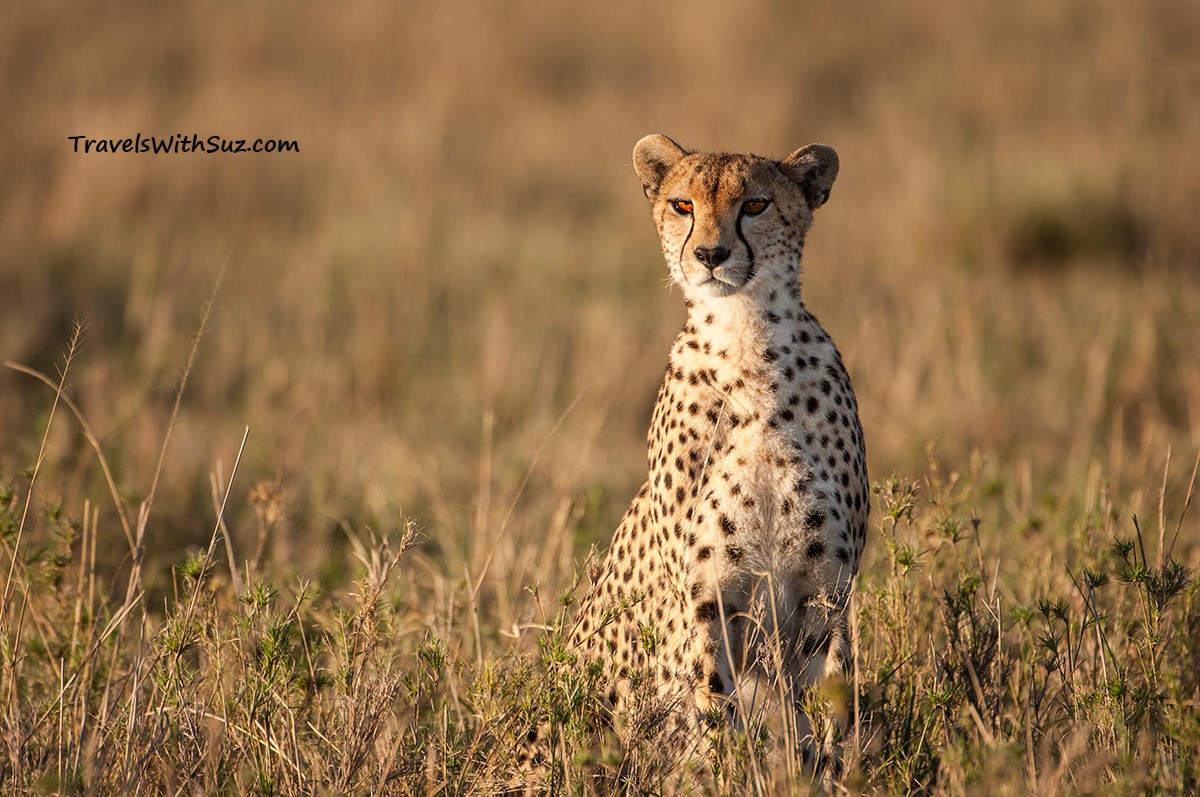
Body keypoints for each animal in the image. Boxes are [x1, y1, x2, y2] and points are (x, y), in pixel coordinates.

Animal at [524, 134, 868, 786]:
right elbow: (715, 705)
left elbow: (825, 712)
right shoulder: (707, 596)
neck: (749, 342)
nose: (710, 254)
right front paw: (730, 771)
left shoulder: (824, 592)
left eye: (755, 204)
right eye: (683, 204)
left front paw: (827, 773)